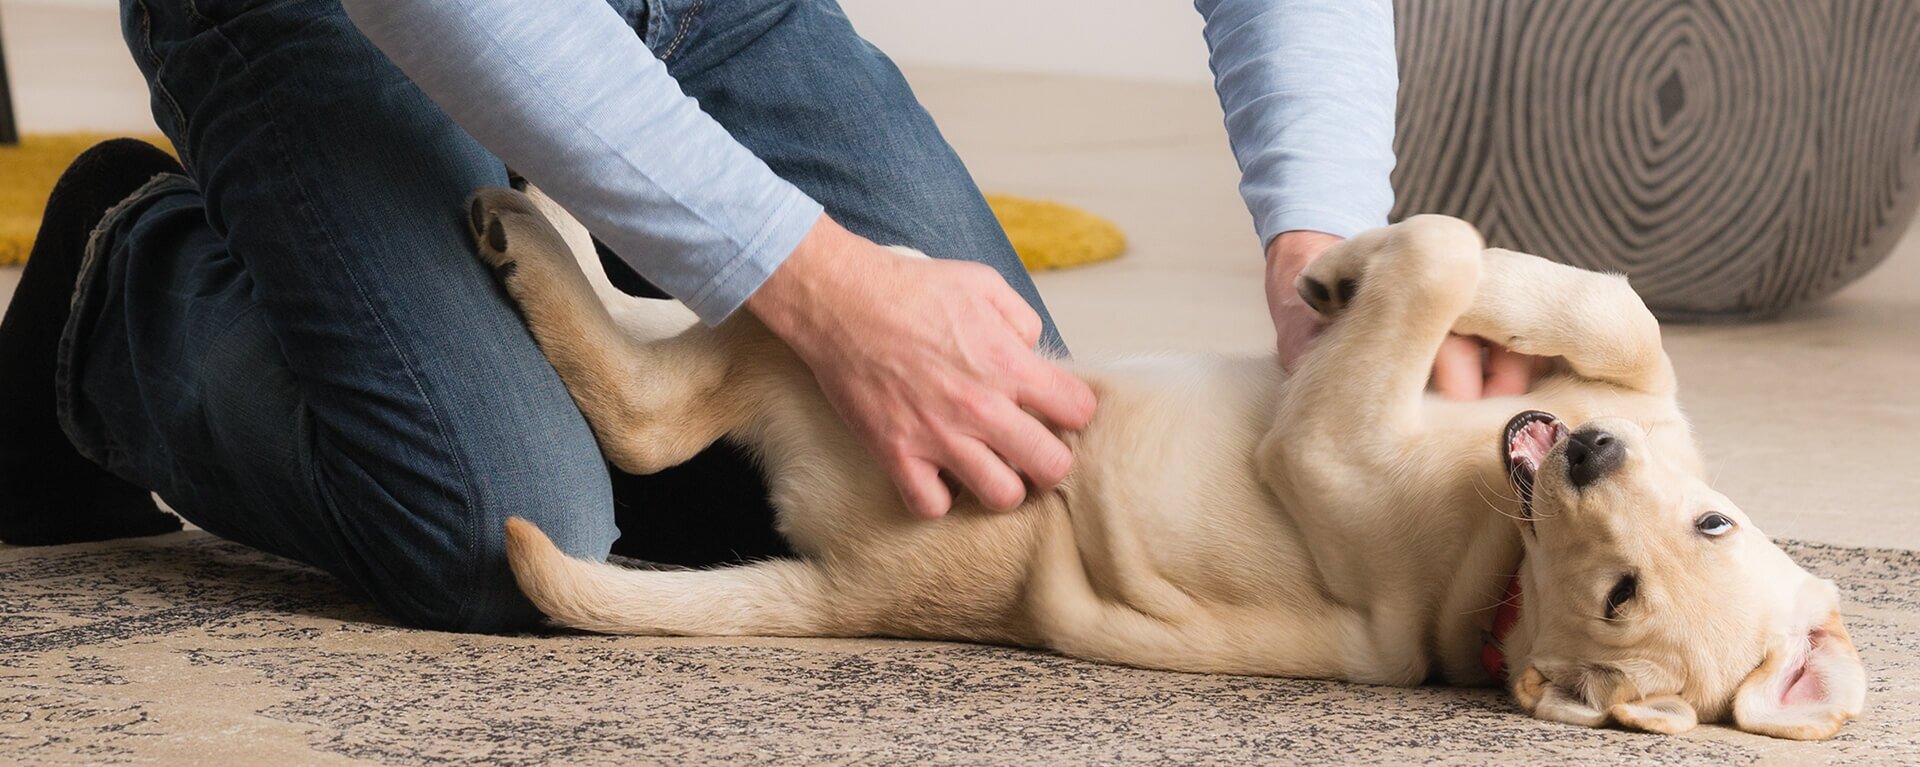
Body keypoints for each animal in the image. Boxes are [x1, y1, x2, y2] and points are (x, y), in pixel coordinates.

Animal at [464, 183, 1858, 742]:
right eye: (1714, 525)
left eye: (1620, 599)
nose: (1588, 456)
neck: (1504, 546)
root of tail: (857, 594)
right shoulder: (1631, 377)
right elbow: (1598, 298)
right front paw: (1342, 268)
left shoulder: (1326, 442)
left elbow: (1445, 252)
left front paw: (1360, 265)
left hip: (883, 324)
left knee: (654, 407)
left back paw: (526, 238)